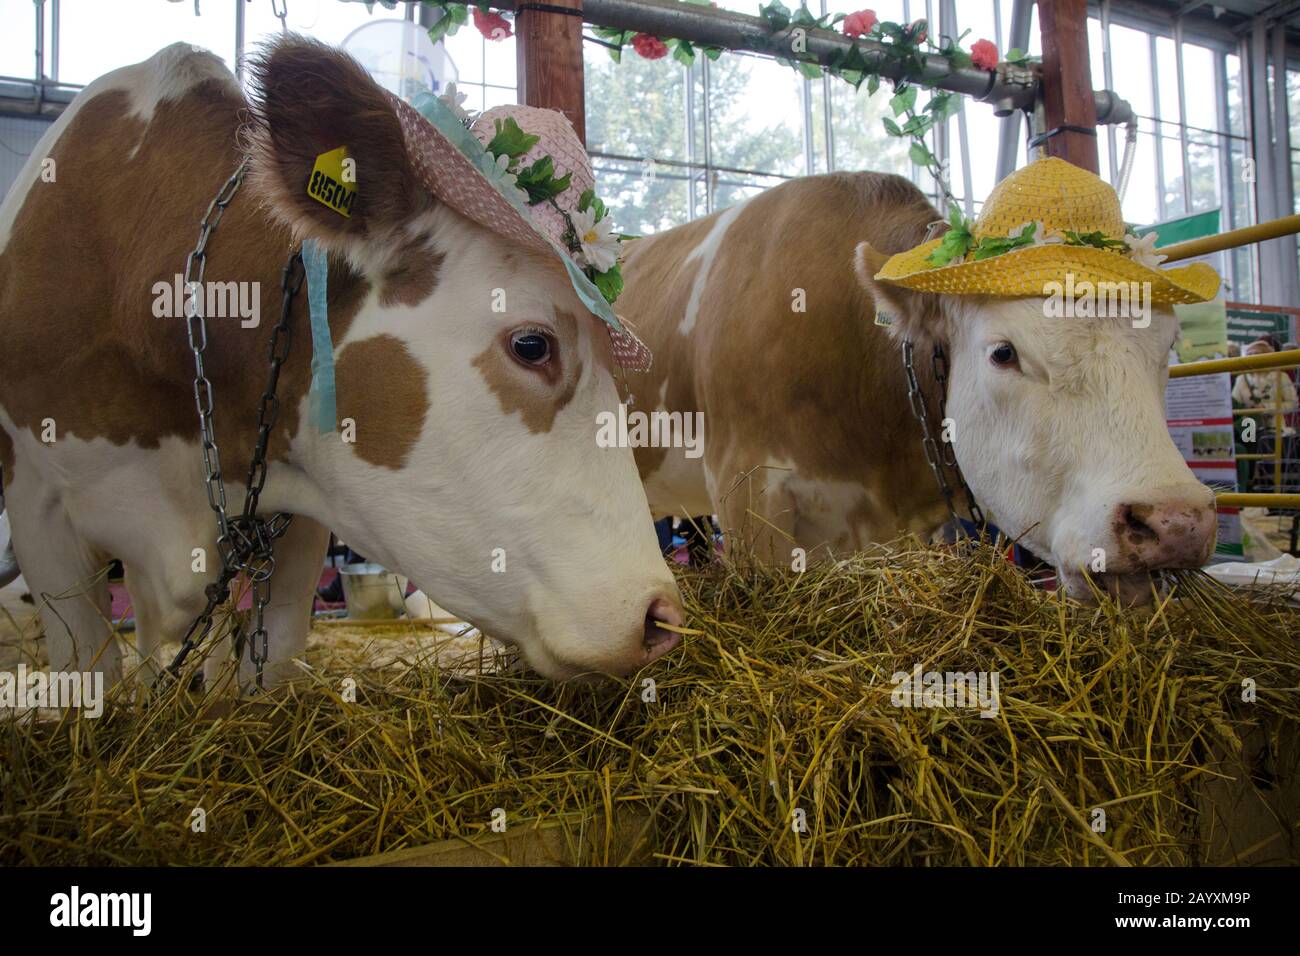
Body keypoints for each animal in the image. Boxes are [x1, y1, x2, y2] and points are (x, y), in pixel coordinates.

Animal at [0, 39, 684, 688]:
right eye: (533, 345)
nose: (661, 615)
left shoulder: (299, 517)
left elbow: (267, 666)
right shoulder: (36, 510)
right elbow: (88, 674)